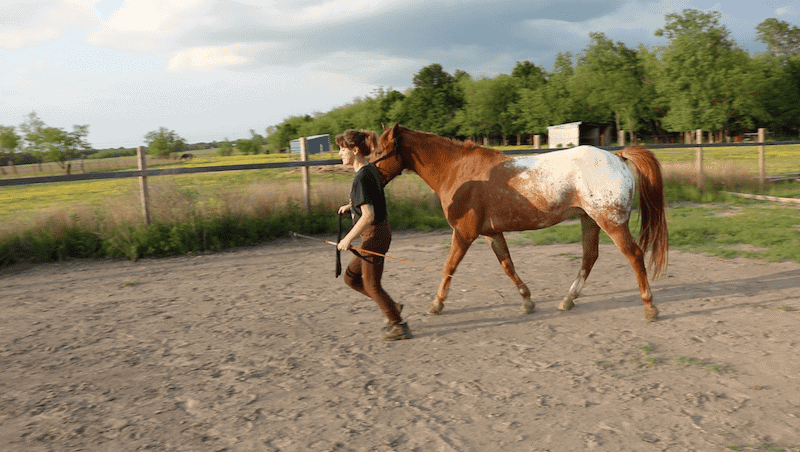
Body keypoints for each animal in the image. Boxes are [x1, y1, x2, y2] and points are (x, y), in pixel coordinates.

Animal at [373, 123, 668, 321]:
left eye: (379, 151)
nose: (368, 176)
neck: (457, 171)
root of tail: (617, 157)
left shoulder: (464, 233)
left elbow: (449, 266)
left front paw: (436, 304)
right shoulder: (491, 233)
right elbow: (508, 266)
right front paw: (527, 301)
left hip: (611, 222)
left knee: (634, 255)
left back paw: (650, 306)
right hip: (590, 220)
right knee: (589, 257)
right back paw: (568, 300)